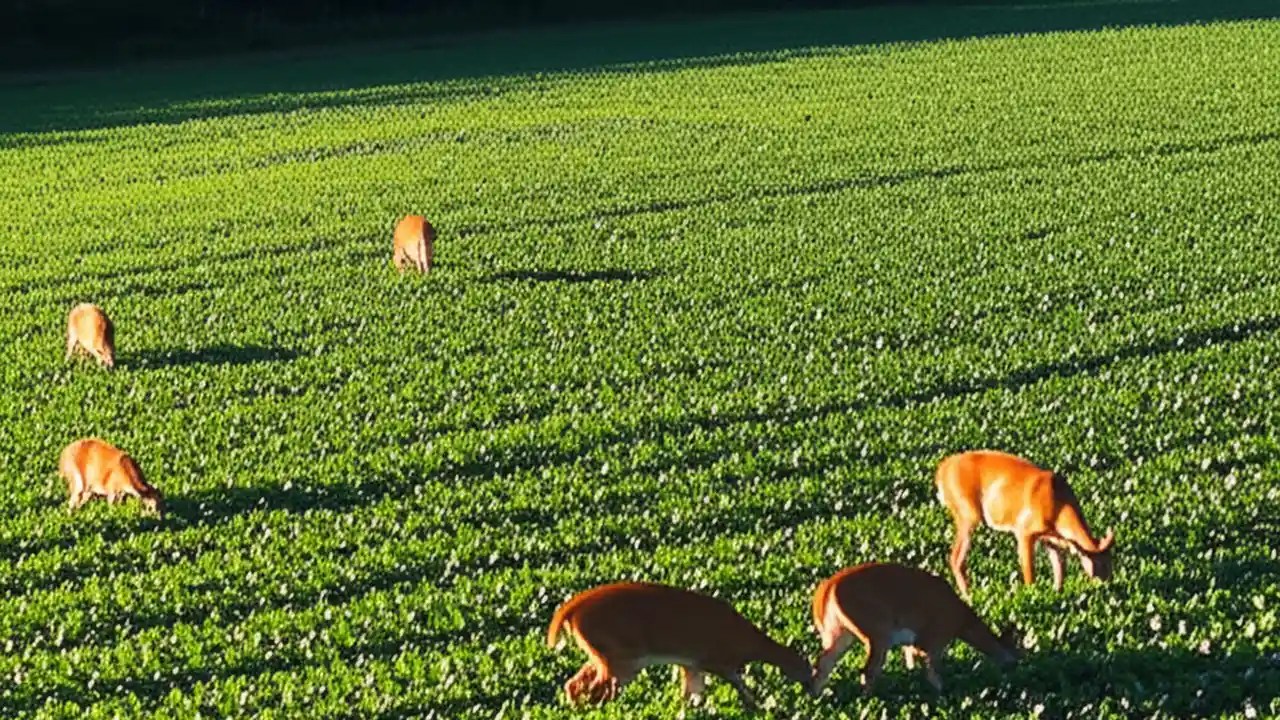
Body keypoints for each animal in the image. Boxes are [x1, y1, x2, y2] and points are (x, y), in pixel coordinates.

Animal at [546, 581, 814, 709]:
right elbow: (738, 684)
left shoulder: (693, 664)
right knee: (597, 691)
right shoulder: (717, 660)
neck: (747, 642)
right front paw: (759, 706)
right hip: (620, 656)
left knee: (574, 683)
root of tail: (570, 610)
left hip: (602, 653)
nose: (812, 688)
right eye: (808, 670)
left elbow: (691, 693)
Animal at [811, 562, 1020, 694]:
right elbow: (932, 670)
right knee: (868, 669)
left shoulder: (913, 642)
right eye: (1019, 652)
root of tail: (827, 589)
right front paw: (942, 694)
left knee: (824, 662)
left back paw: (816, 695)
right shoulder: (935, 636)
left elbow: (912, 662)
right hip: (876, 629)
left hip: (838, 631)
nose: (1017, 666)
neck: (961, 621)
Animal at [935, 450, 1114, 597]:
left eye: (1111, 560)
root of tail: (942, 470)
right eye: (1100, 564)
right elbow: (1030, 573)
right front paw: (1031, 597)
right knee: (956, 558)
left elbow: (1059, 569)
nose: (1107, 582)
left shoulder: (1050, 539)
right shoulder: (1024, 530)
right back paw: (969, 597)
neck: (1059, 504)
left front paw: (1057, 594)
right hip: (968, 513)